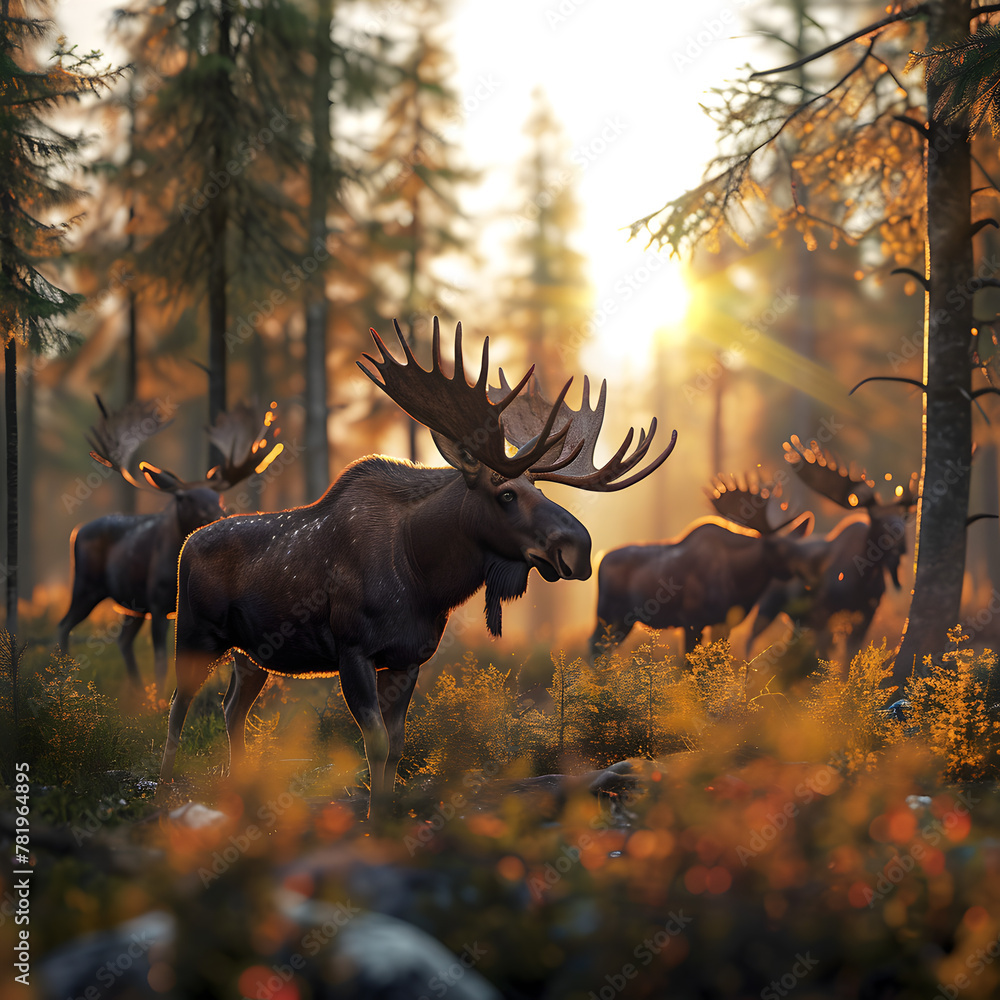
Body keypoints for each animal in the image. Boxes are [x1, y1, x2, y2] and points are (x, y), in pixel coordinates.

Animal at [57, 397, 282, 693]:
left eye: (217, 496)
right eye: (184, 498)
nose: (221, 515)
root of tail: (76, 531)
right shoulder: (157, 602)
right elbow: (162, 660)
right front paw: (161, 697)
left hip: (131, 602)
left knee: (123, 639)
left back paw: (137, 691)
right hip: (87, 585)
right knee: (64, 625)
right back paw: (64, 679)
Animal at [154, 319, 675, 818]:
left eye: (542, 490)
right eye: (506, 494)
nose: (580, 549)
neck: (424, 577)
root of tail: (186, 544)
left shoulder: (408, 657)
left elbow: (397, 747)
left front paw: (383, 816)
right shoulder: (353, 649)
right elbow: (376, 745)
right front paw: (371, 822)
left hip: (252, 655)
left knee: (230, 709)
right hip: (195, 634)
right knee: (177, 708)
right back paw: (163, 794)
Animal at [590, 474, 813, 659]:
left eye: (801, 545)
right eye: (776, 546)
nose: (806, 575)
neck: (739, 584)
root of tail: (600, 559)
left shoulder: (722, 624)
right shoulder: (691, 620)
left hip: (623, 621)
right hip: (607, 614)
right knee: (595, 647)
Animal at [744, 436, 917, 666]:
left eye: (903, 516)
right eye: (876, 517)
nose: (900, 539)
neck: (863, 580)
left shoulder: (867, 613)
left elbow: (848, 659)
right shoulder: (823, 612)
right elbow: (825, 658)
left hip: (796, 619)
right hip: (768, 604)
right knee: (750, 640)